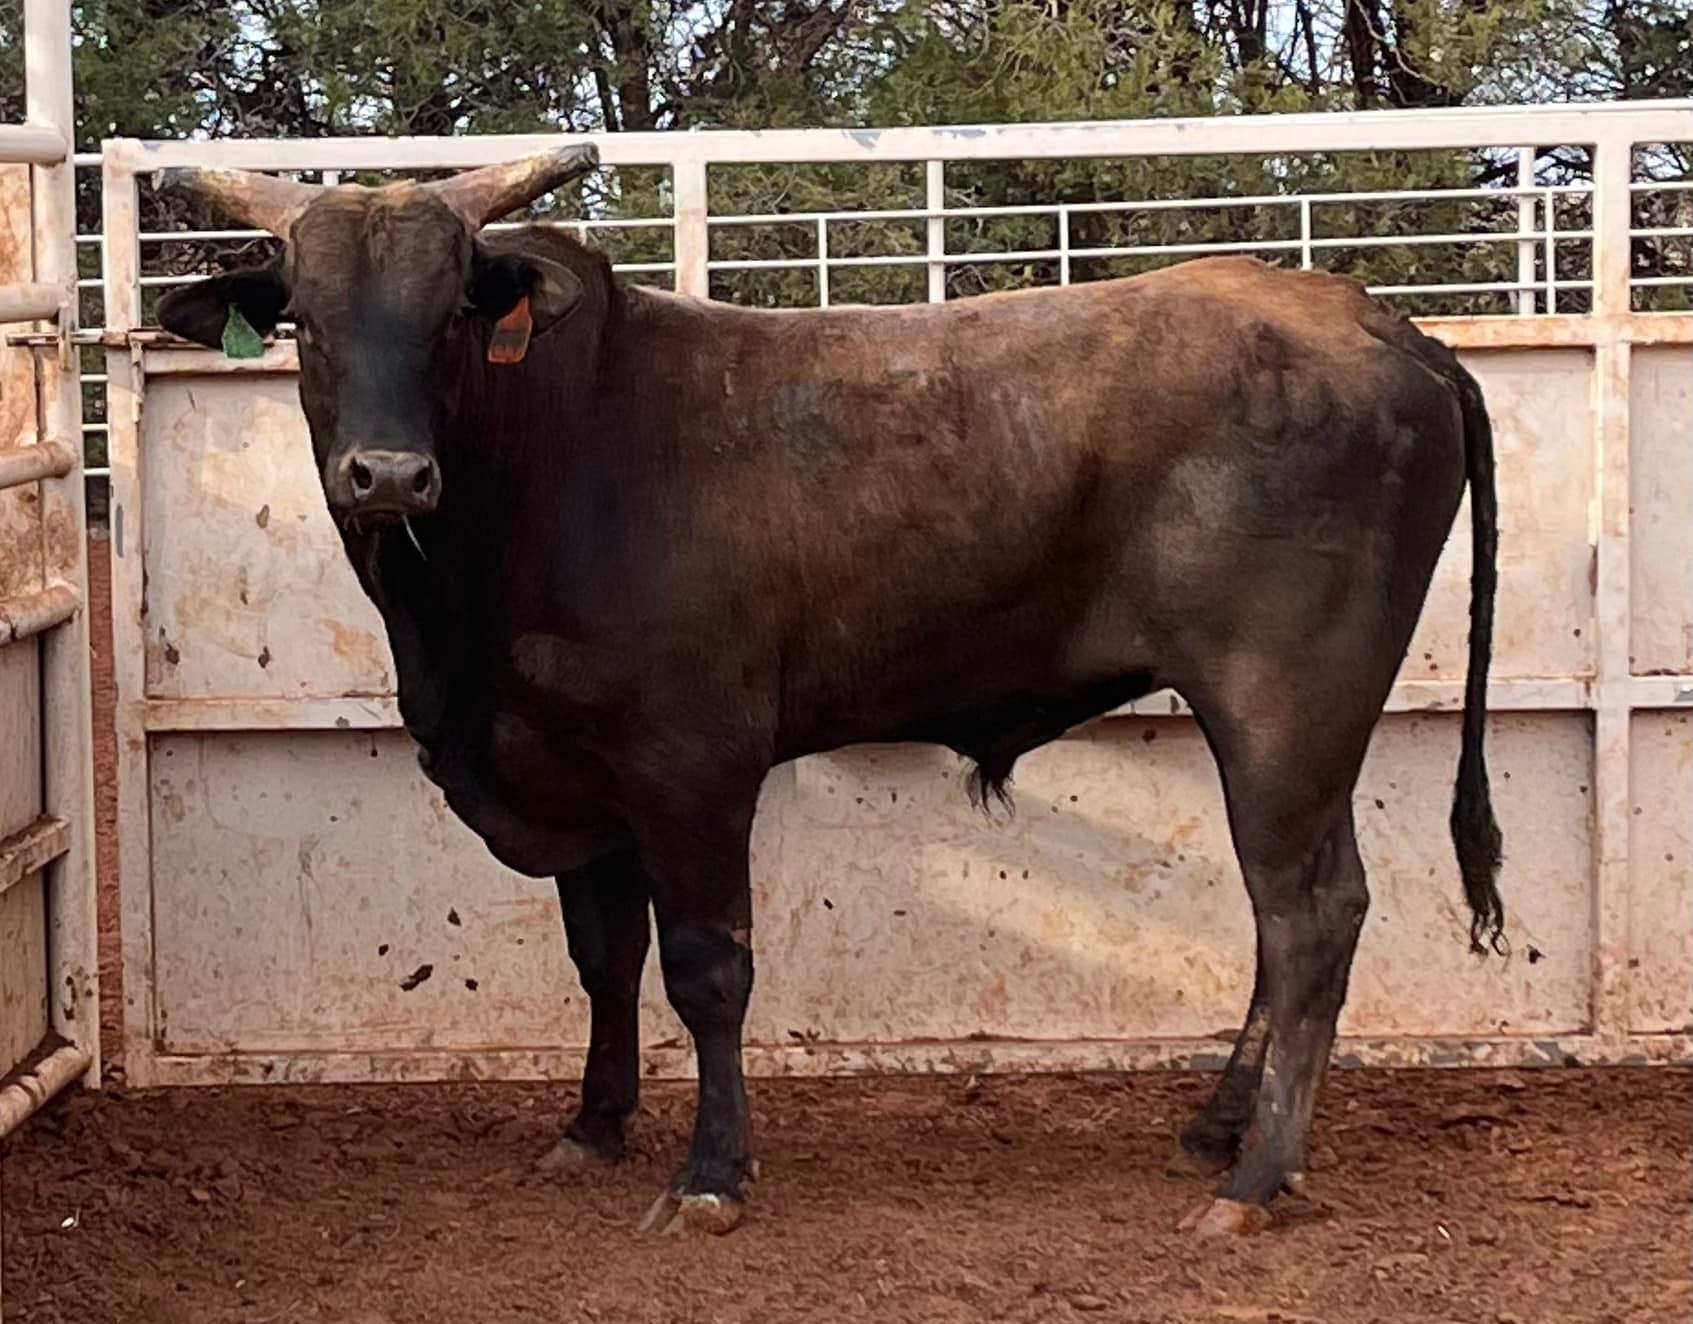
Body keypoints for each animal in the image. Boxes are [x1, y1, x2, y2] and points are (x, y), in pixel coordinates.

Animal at [155, 144, 1504, 1239]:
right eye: (307, 320)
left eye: (446, 318)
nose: (387, 474)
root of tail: (1385, 328)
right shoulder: (576, 775)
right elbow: (605, 958)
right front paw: (592, 1126)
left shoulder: (690, 763)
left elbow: (707, 967)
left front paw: (711, 1171)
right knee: (1292, 920)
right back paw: (1221, 1127)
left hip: (1283, 708)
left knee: (1309, 913)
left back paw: (1254, 1176)